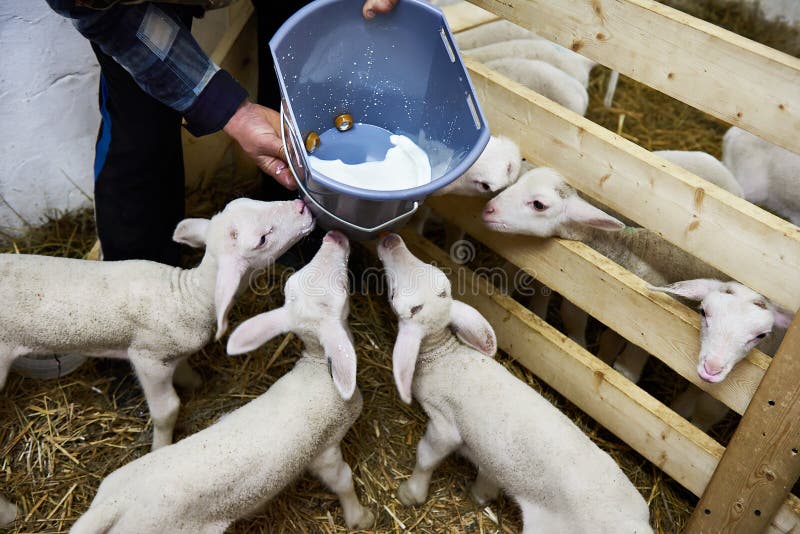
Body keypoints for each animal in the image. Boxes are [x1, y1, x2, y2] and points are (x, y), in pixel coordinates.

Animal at [0, 198, 314, 450]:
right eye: (262, 239)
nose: (302, 205)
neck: (190, 295)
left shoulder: (172, 351)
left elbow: (185, 368)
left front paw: (196, 384)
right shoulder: (148, 359)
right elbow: (167, 409)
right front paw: (160, 449)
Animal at [71, 230, 373, 534]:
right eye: (344, 288)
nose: (334, 235)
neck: (318, 367)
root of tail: (115, 506)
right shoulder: (326, 448)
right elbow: (343, 479)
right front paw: (359, 517)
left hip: (111, 483)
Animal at [377, 233, 652, 534]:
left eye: (395, 297)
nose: (391, 239)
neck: (444, 356)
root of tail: (636, 523)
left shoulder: (443, 423)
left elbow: (426, 456)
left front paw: (410, 493)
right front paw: (481, 494)